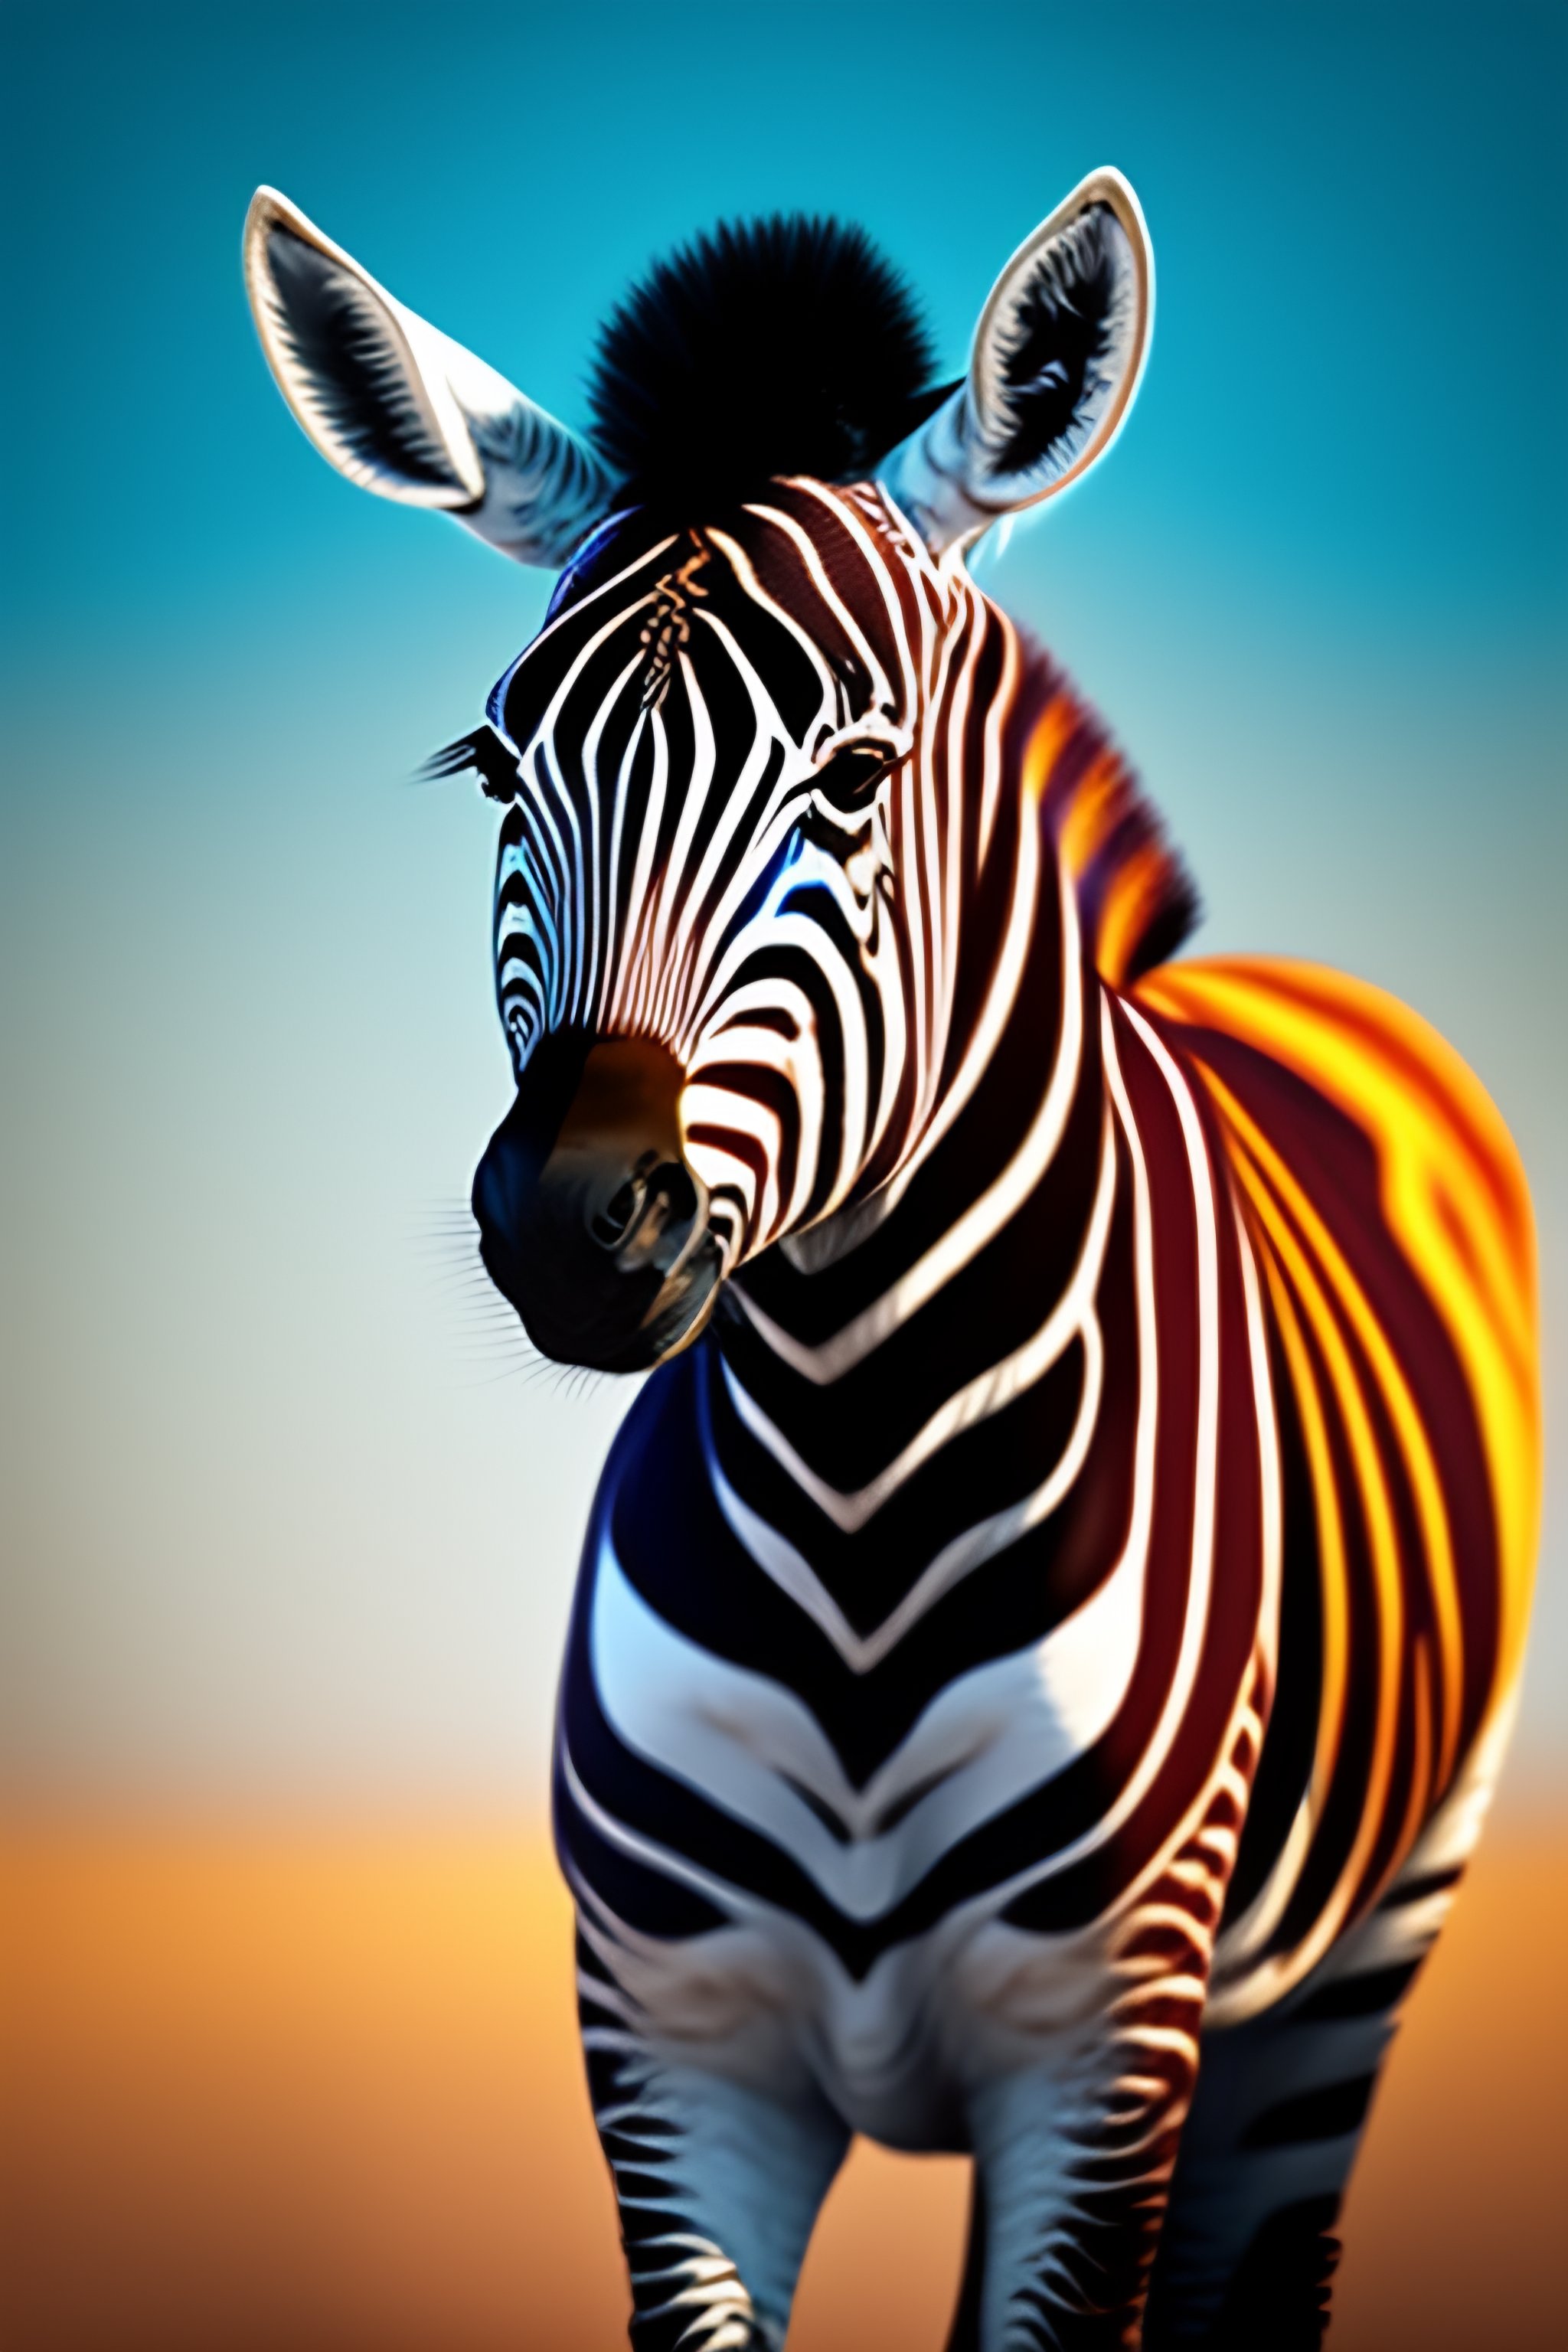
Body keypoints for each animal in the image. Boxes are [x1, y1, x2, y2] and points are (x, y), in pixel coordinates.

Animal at [244, 170, 1540, 2349]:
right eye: (497, 771)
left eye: (855, 776)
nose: (570, 1222)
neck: (862, 1472)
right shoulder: (674, 2065)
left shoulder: (1098, 2056)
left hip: (1362, 1943)